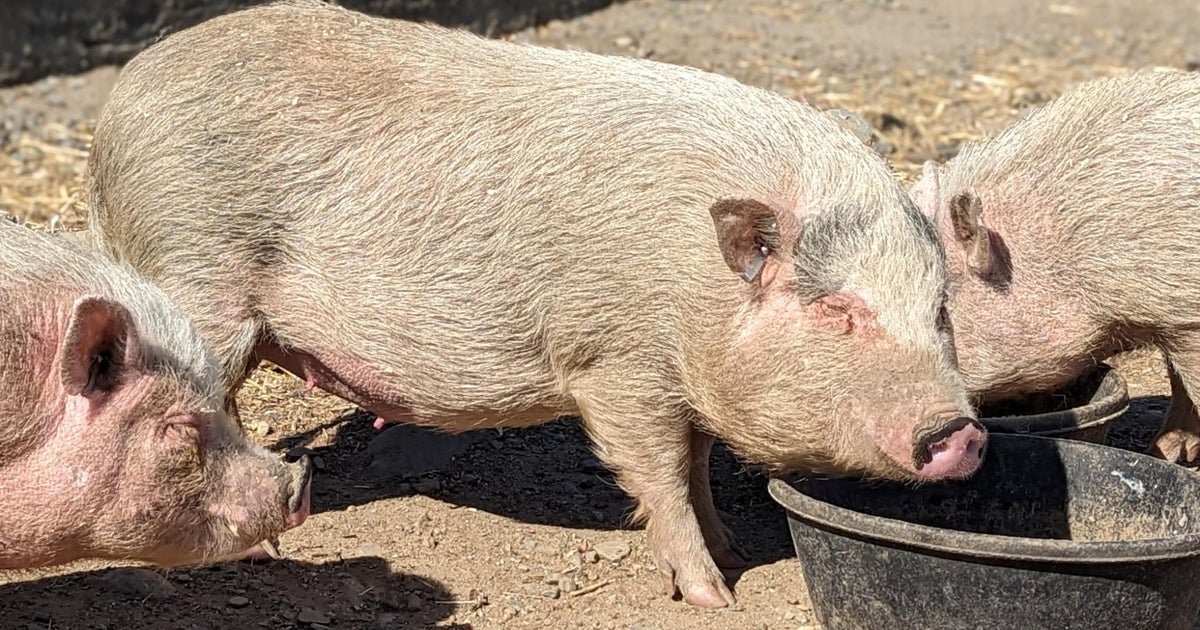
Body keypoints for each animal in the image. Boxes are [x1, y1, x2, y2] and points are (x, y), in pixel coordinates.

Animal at [84, 0, 984, 607]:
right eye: (839, 311)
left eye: (940, 308)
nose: (961, 433)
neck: (691, 288)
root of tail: (123, 98)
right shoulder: (614, 364)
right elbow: (661, 473)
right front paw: (714, 596)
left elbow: (696, 464)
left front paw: (731, 554)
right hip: (197, 278)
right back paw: (258, 559)